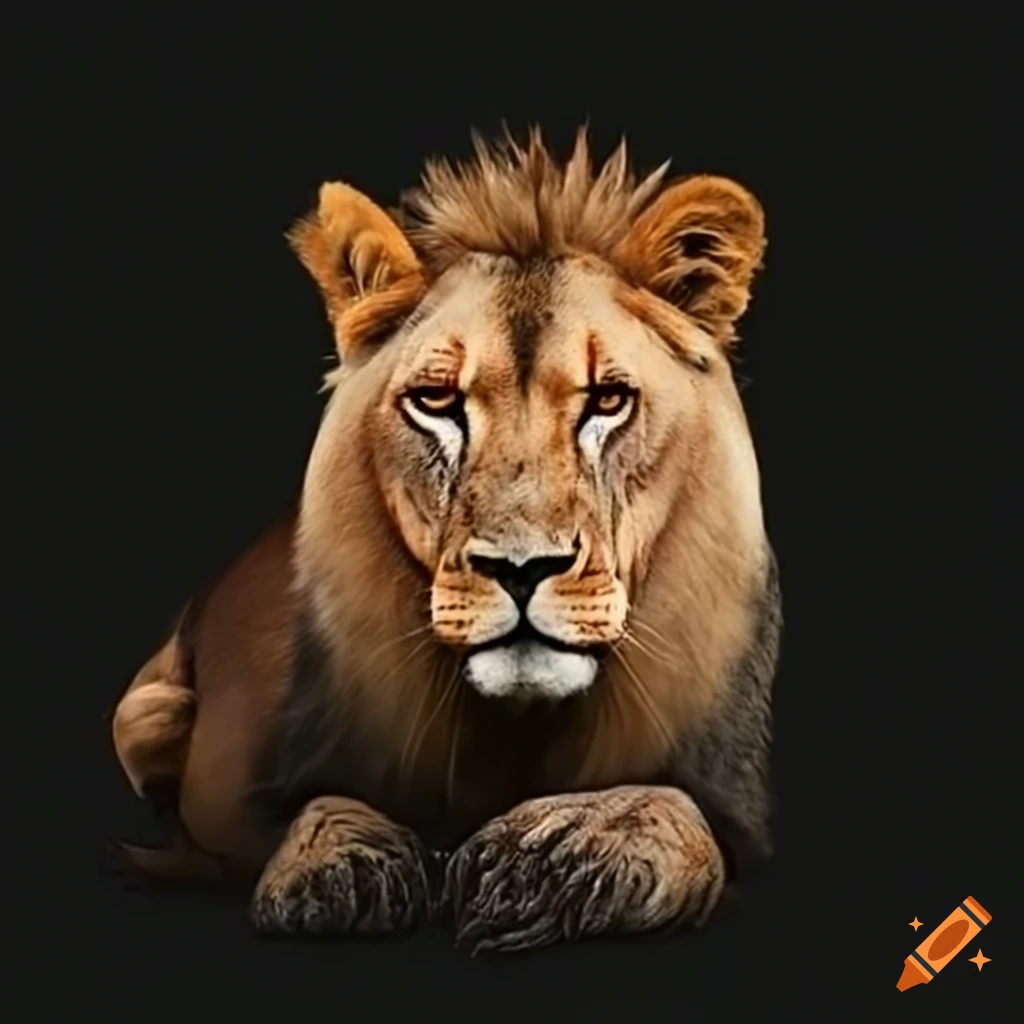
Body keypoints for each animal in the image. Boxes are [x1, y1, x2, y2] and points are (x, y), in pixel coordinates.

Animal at [110, 126, 781, 953]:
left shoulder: (733, 802)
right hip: (144, 711)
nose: (522, 569)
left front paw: (552, 859)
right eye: (436, 401)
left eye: (608, 400)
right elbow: (303, 811)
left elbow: (676, 810)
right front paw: (343, 866)